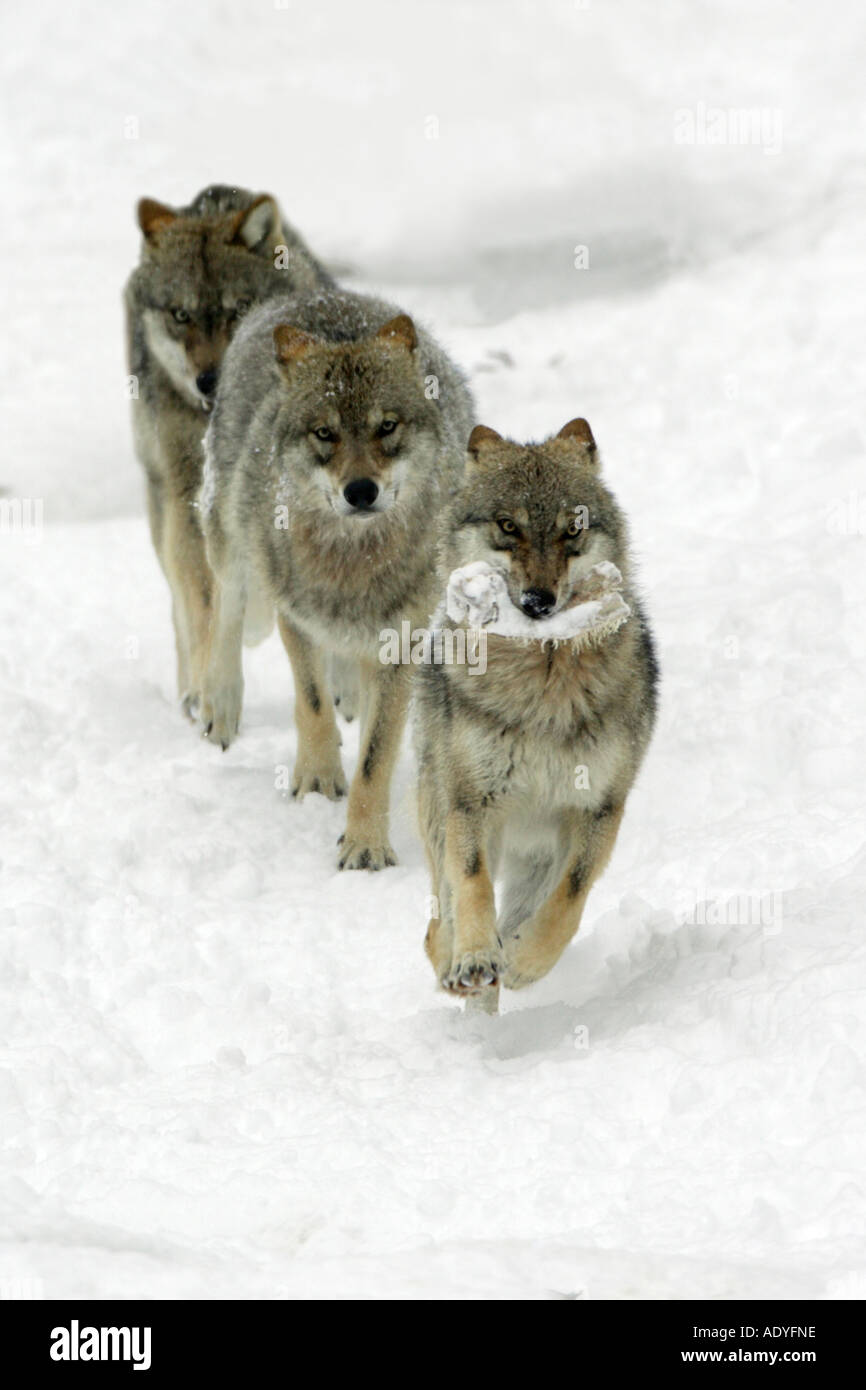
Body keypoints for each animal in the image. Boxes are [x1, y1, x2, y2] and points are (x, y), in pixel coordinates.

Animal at [125, 184, 333, 712]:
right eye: (181, 315)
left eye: (238, 309)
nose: (209, 380)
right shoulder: (187, 498)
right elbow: (203, 599)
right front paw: (205, 687)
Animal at [198, 289, 474, 870]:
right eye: (324, 433)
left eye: (386, 426)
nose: (361, 491)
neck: (353, 564)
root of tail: (307, 295)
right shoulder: (296, 616)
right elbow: (312, 705)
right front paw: (318, 781)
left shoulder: (402, 643)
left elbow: (377, 752)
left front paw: (366, 844)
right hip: (231, 544)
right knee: (227, 615)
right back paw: (220, 707)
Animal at [415, 419, 658, 1009]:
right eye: (508, 526)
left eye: (572, 530)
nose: (538, 602)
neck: (543, 687)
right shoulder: (470, 803)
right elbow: (474, 884)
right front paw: (476, 958)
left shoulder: (599, 809)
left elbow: (568, 901)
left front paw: (526, 961)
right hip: (442, 811)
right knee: (436, 925)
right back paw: (459, 969)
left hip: (537, 852)